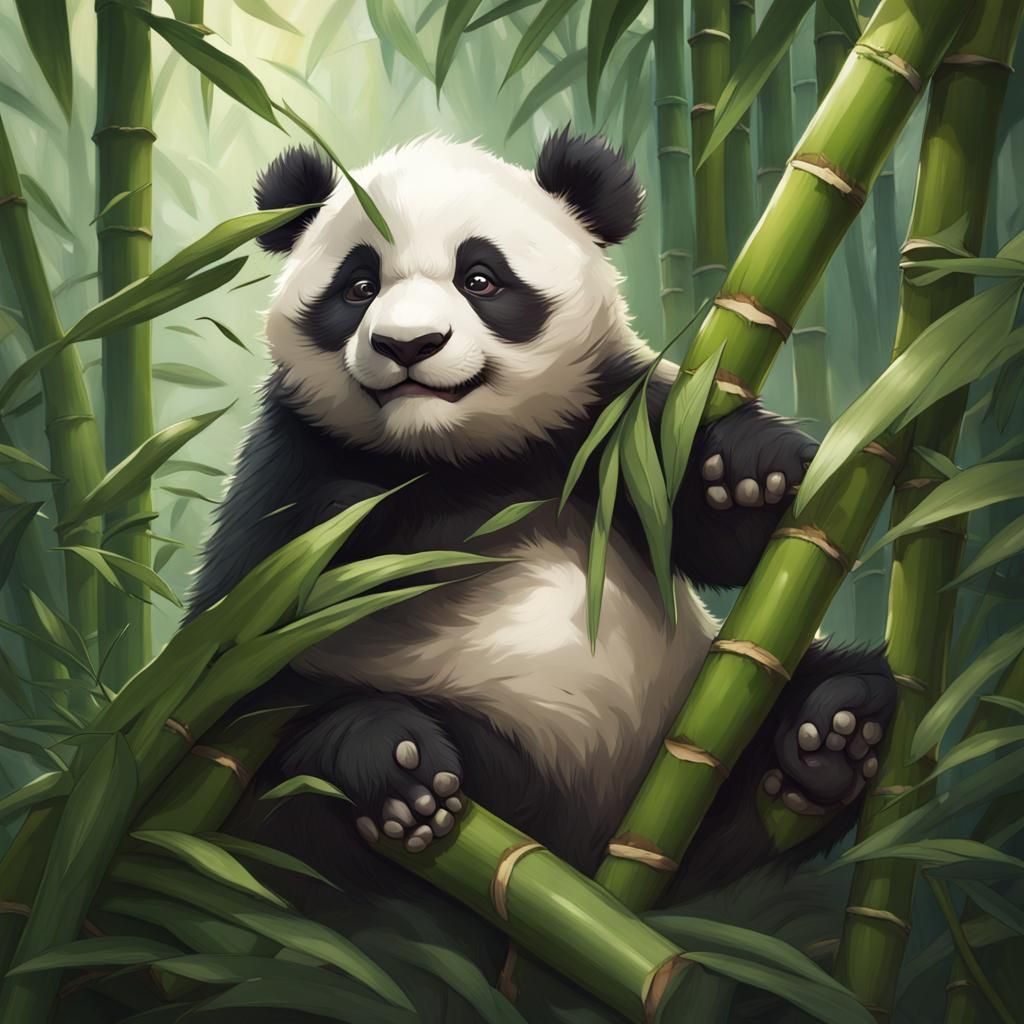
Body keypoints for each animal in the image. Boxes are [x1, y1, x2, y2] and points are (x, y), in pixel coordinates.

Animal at [189, 131, 896, 909]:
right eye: (359, 287)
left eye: (481, 279)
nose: (408, 346)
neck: (457, 456)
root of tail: (591, 862)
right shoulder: (289, 456)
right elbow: (233, 642)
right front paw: (364, 529)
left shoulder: (609, 425)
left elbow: (720, 543)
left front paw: (750, 470)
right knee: (295, 782)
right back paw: (394, 763)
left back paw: (832, 735)